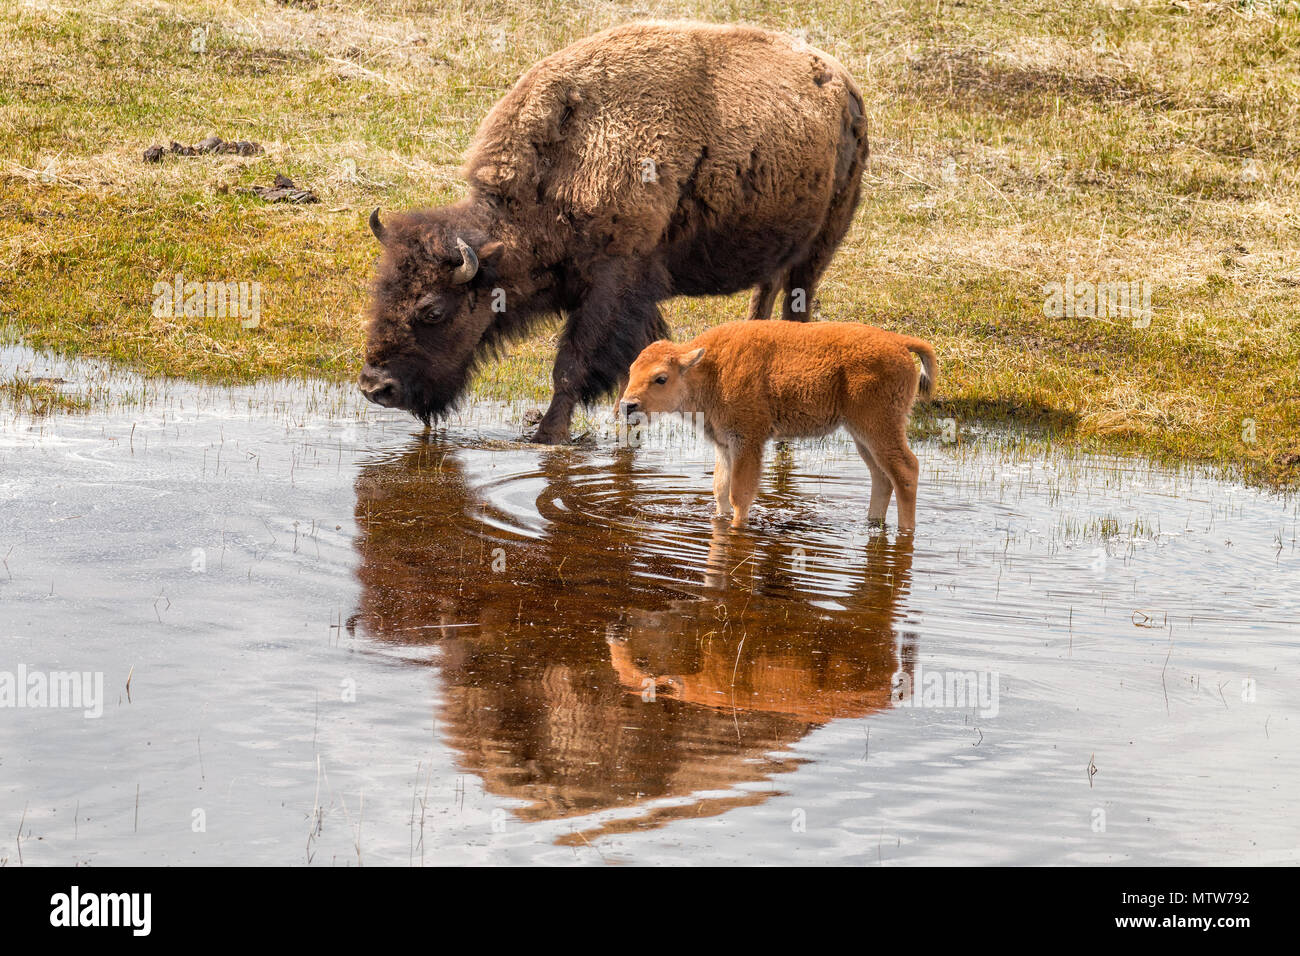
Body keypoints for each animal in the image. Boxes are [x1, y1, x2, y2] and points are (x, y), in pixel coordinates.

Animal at [360, 20, 869, 442]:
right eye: (380, 292)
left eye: (432, 310)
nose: (374, 386)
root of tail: (847, 88)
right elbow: (631, 363)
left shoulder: (614, 283)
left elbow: (572, 365)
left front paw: (547, 437)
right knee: (764, 300)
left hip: (823, 243)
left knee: (797, 307)